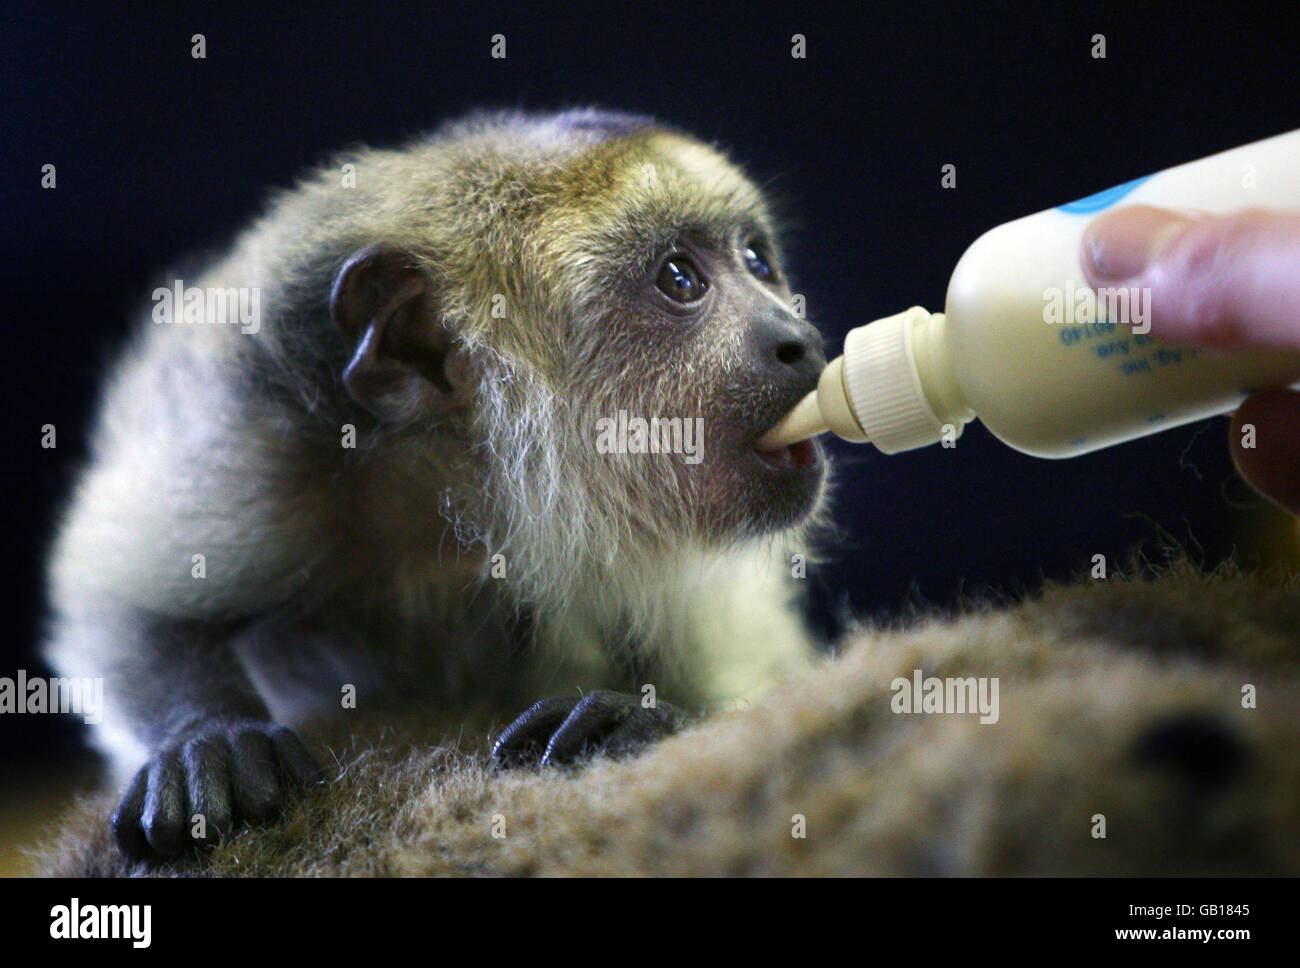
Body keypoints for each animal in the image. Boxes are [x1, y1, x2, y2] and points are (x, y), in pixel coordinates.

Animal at [43, 107, 829, 862]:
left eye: (758, 262)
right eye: (679, 279)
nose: (804, 340)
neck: (448, 497)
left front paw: (642, 719)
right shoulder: (253, 431)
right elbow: (120, 598)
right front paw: (205, 739)